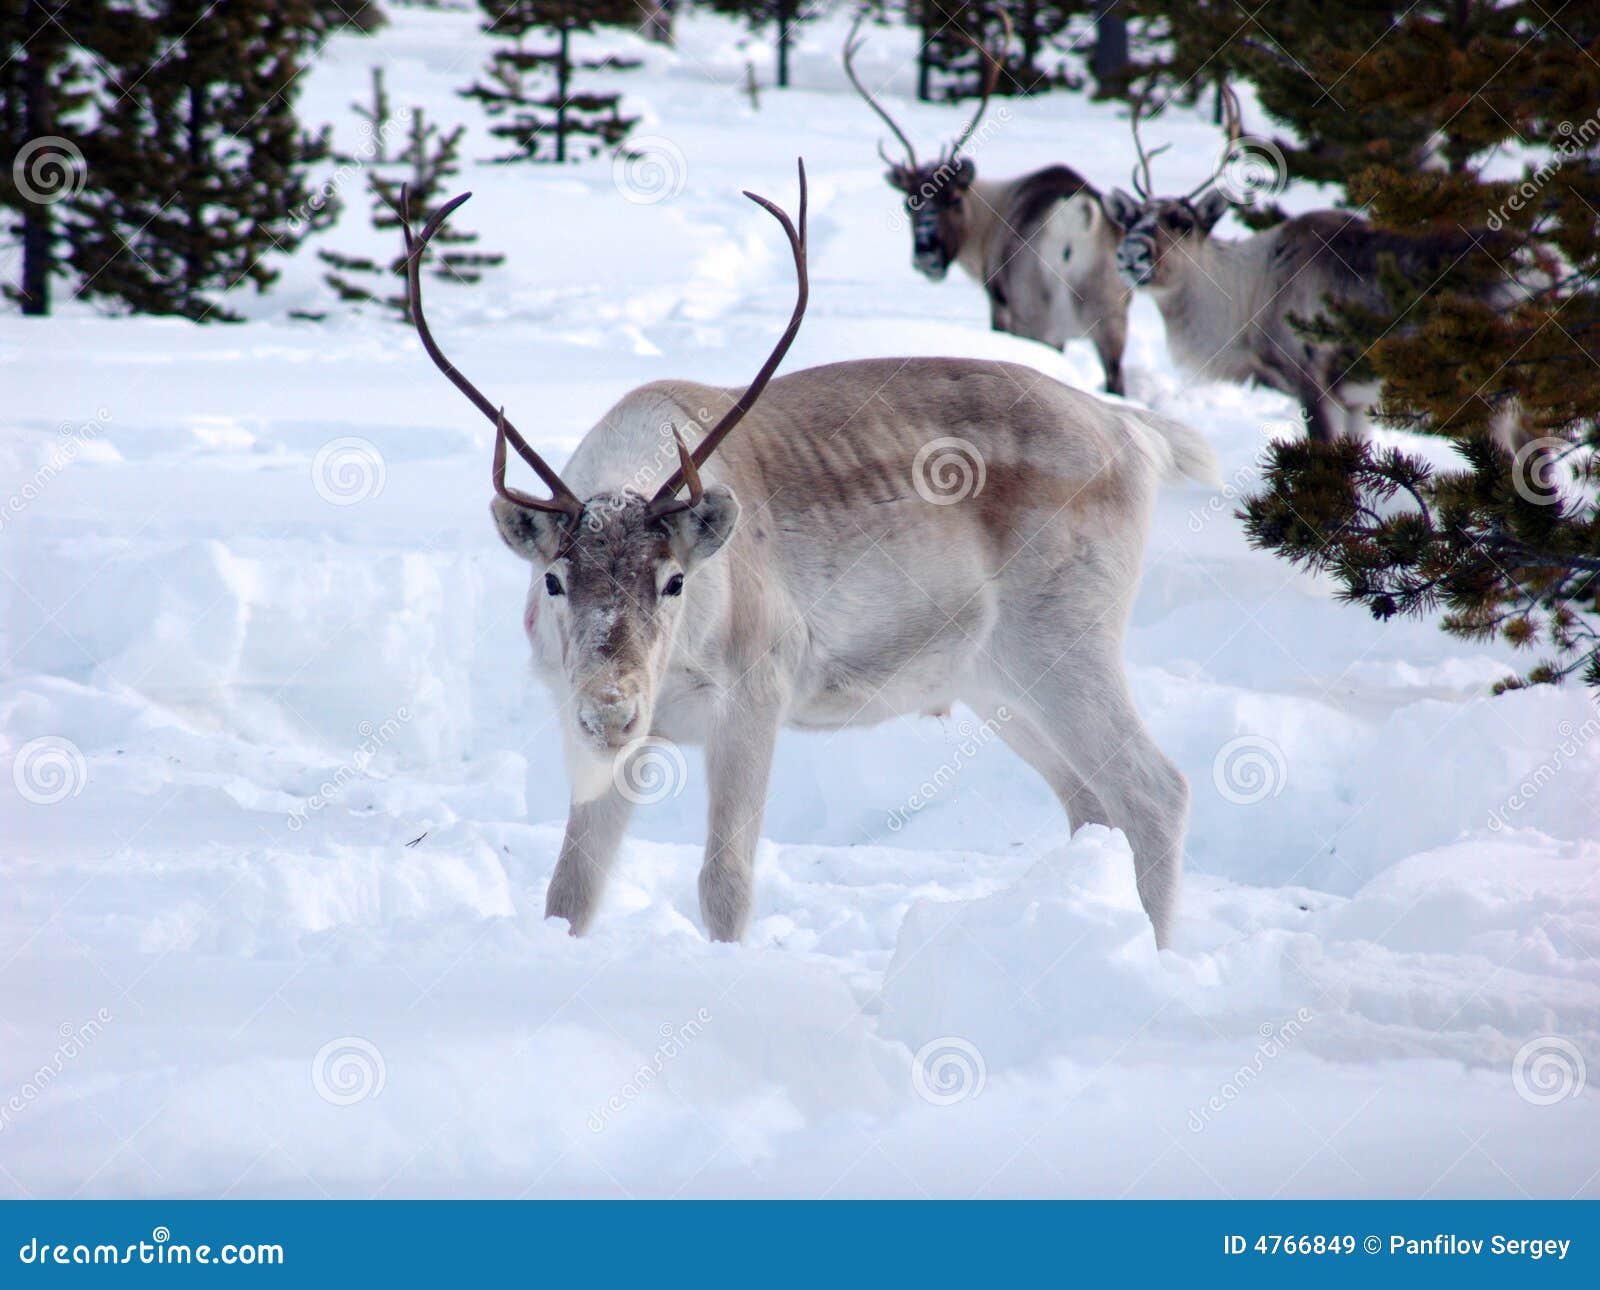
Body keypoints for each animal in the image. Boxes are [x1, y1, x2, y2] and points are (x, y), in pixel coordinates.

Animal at [398, 162, 1220, 951]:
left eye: (674, 580)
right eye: (554, 580)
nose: (612, 709)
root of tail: (1133, 430)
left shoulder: (754, 696)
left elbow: (725, 882)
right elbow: (571, 888)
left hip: (1067, 644)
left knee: (1155, 792)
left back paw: (1156, 953)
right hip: (998, 682)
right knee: (1090, 805)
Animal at [845, 12, 1131, 395]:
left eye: (953, 199)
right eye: (908, 204)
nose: (926, 255)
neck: (984, 231)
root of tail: (1077, 217)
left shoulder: (999, 303)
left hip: (1037, 317)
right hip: (1113, 318)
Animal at [1105, 86, 1506, 442]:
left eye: (1183, 223)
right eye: (1129, 219)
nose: (1130, 253)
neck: (1248, 299)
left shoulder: (1312, 379)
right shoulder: (1356, 403)